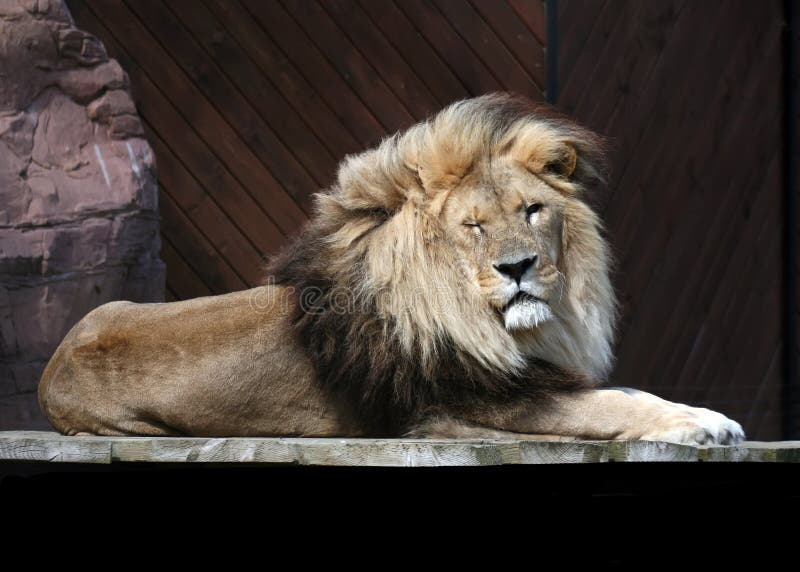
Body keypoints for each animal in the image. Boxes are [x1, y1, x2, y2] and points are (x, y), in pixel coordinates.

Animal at [38, 94, 744, 445]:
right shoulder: (472, 407)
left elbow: (627, 393)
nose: (518, 267)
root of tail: (52, 364)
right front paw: (707, 425)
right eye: (474, 227)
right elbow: (607, 405)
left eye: (533, 210)